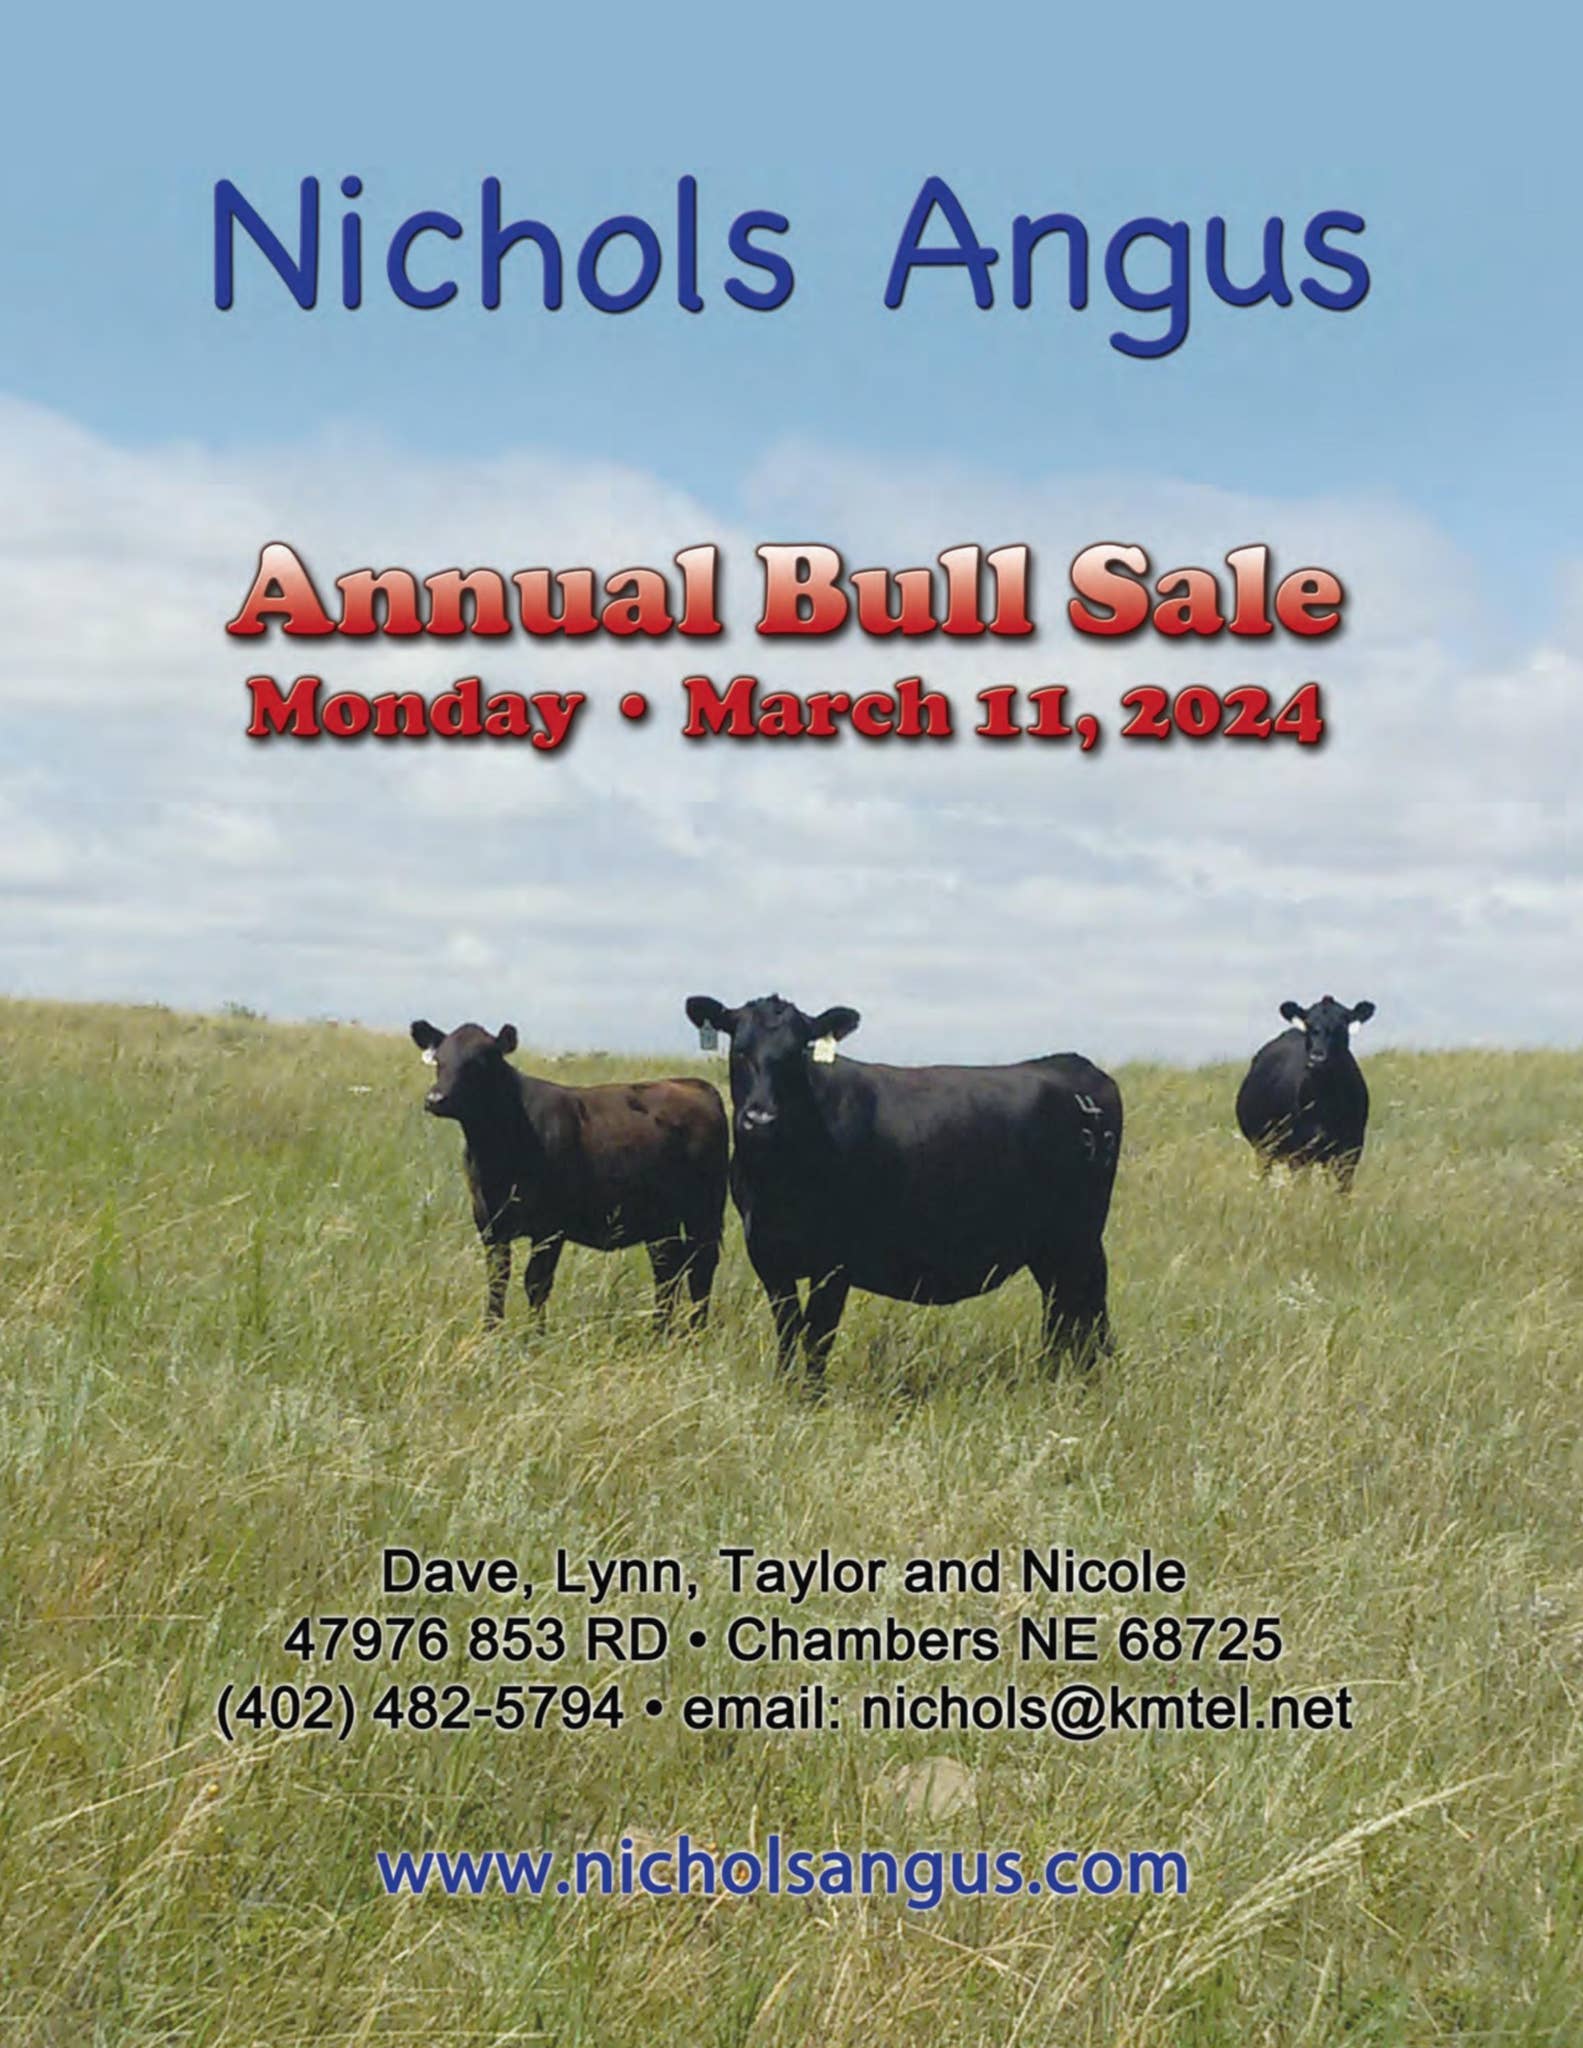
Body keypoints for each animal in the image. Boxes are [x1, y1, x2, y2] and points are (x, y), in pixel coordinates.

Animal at [410, 1020, 728, 1330]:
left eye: (478, 1062)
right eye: (439, 1060)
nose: (435, 1098)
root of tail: (694, 1084)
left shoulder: (550, 1227)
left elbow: (536, 1283)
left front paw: (534, 1338)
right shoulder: (490, 1224)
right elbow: (498, 1281)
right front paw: (491, 1333)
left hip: (705, 1212)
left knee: (701, 1267)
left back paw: (695, 1332)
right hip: (661, 1220)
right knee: (668, 1269)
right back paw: (661, 1332)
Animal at [683, 992, 1122, 1382]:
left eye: (796, 1054)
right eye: (739, 1050)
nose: (760, 1118)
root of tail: (1075, 1067)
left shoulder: (837, 1259)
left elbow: (818, 1335)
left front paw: (812, 1398)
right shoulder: (768, 1254)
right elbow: (790, 1331)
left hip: (1074, 1240)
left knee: (1080, 1314)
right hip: (1054, 1248)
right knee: (1068, 1316)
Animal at [1235, 995, 1377, 1189]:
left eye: (1342, 1025)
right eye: (1309, 1024)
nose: (1317, 1057)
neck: (1327, 1099)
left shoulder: (1351, 1148)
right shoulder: (1301, 1149)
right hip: (1265, 1147)